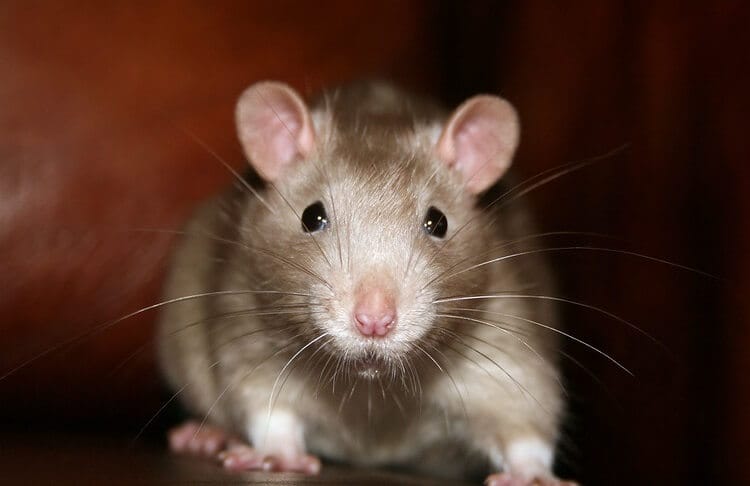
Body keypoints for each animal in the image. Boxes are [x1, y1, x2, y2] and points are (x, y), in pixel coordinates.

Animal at [156, 80, 575, 485]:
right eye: (312, 216)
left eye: (438, 222)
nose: (374, 320)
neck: (374, 387)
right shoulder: (250, 318)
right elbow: (260, 393)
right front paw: (276, 453)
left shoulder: (502, 321)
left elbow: (523, 402)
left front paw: (530, 472)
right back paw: (208, 435)